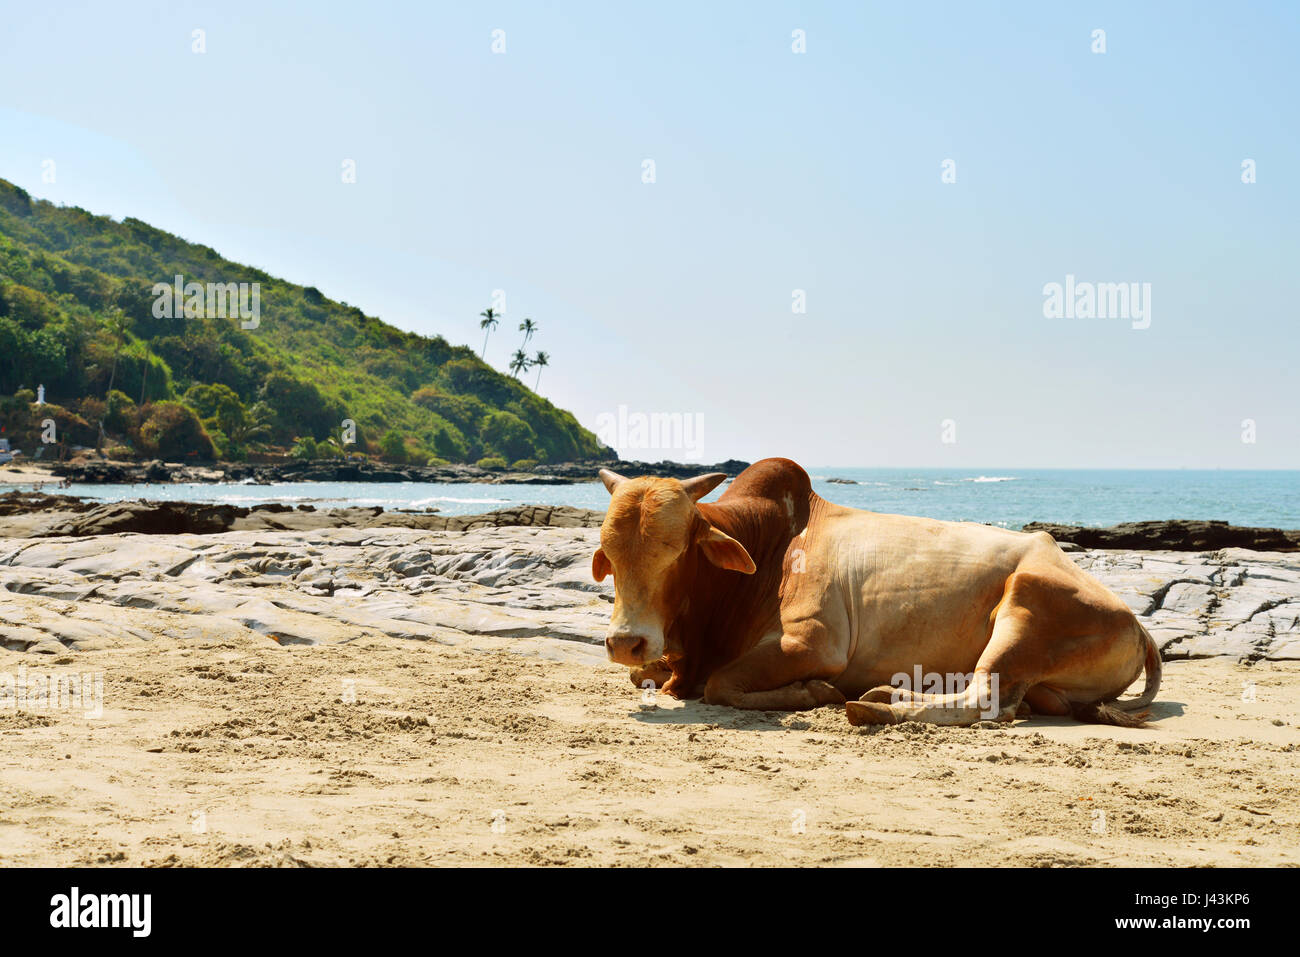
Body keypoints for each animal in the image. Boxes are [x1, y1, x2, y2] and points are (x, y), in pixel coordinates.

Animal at [591, 458, 1161, 727]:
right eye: (609, 553)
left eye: (676, 550)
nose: (625, 642)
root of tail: (1137, 625)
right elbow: (651, 676)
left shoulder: (811, 644)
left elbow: (720, 685)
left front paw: (814, 692)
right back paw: (890, 693)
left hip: (1026, 609)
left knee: (987, 701)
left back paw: (875, 707)